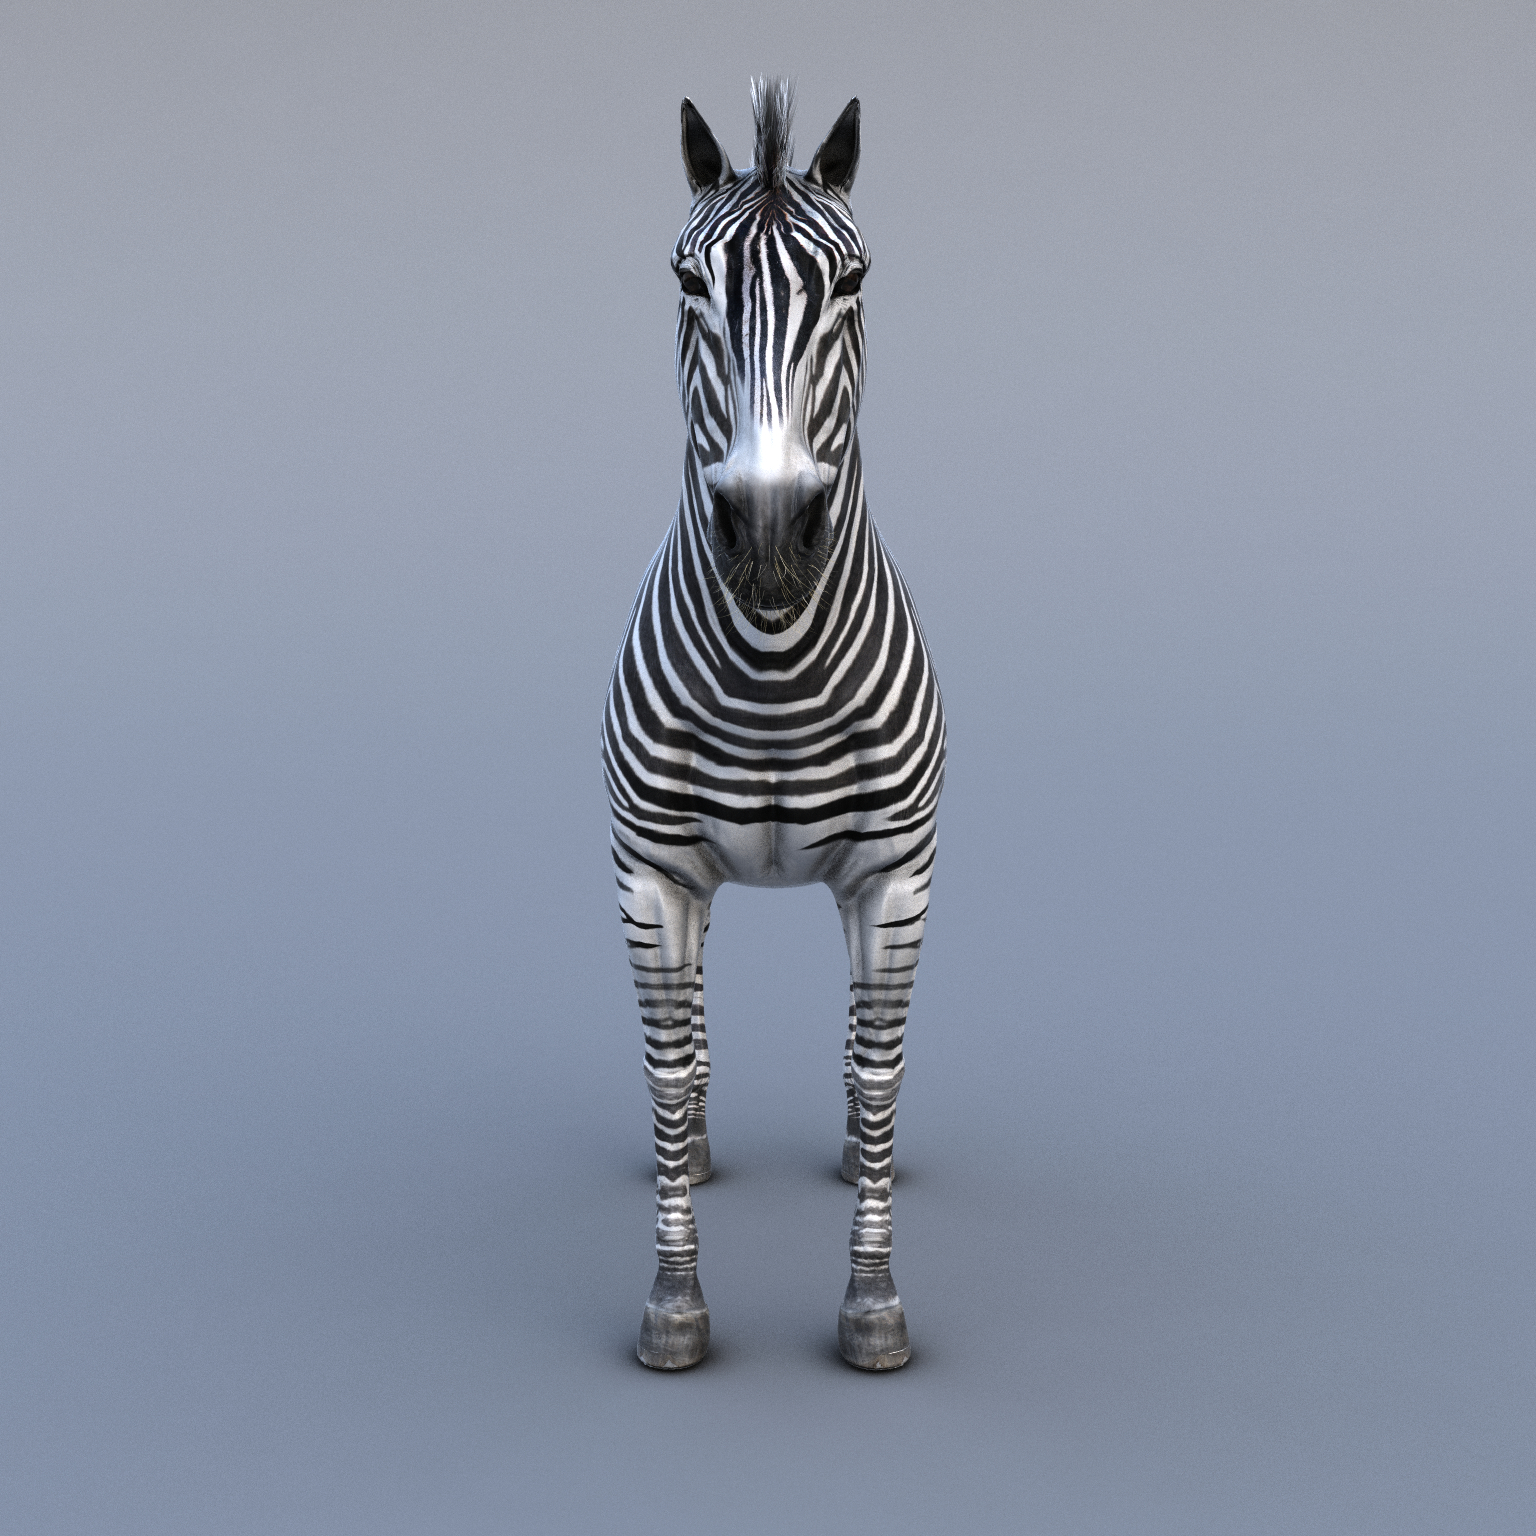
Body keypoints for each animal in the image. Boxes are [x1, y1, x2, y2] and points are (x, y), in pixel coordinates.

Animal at [603, 79, 945, 1372]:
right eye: (686, 283)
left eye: (853, 283)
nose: (767, 534)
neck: (774, 677)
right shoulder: (650, 881)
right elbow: (664, 1073)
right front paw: (673, 1308)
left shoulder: (896, 883)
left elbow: (880, 1074)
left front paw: (874, 1309)